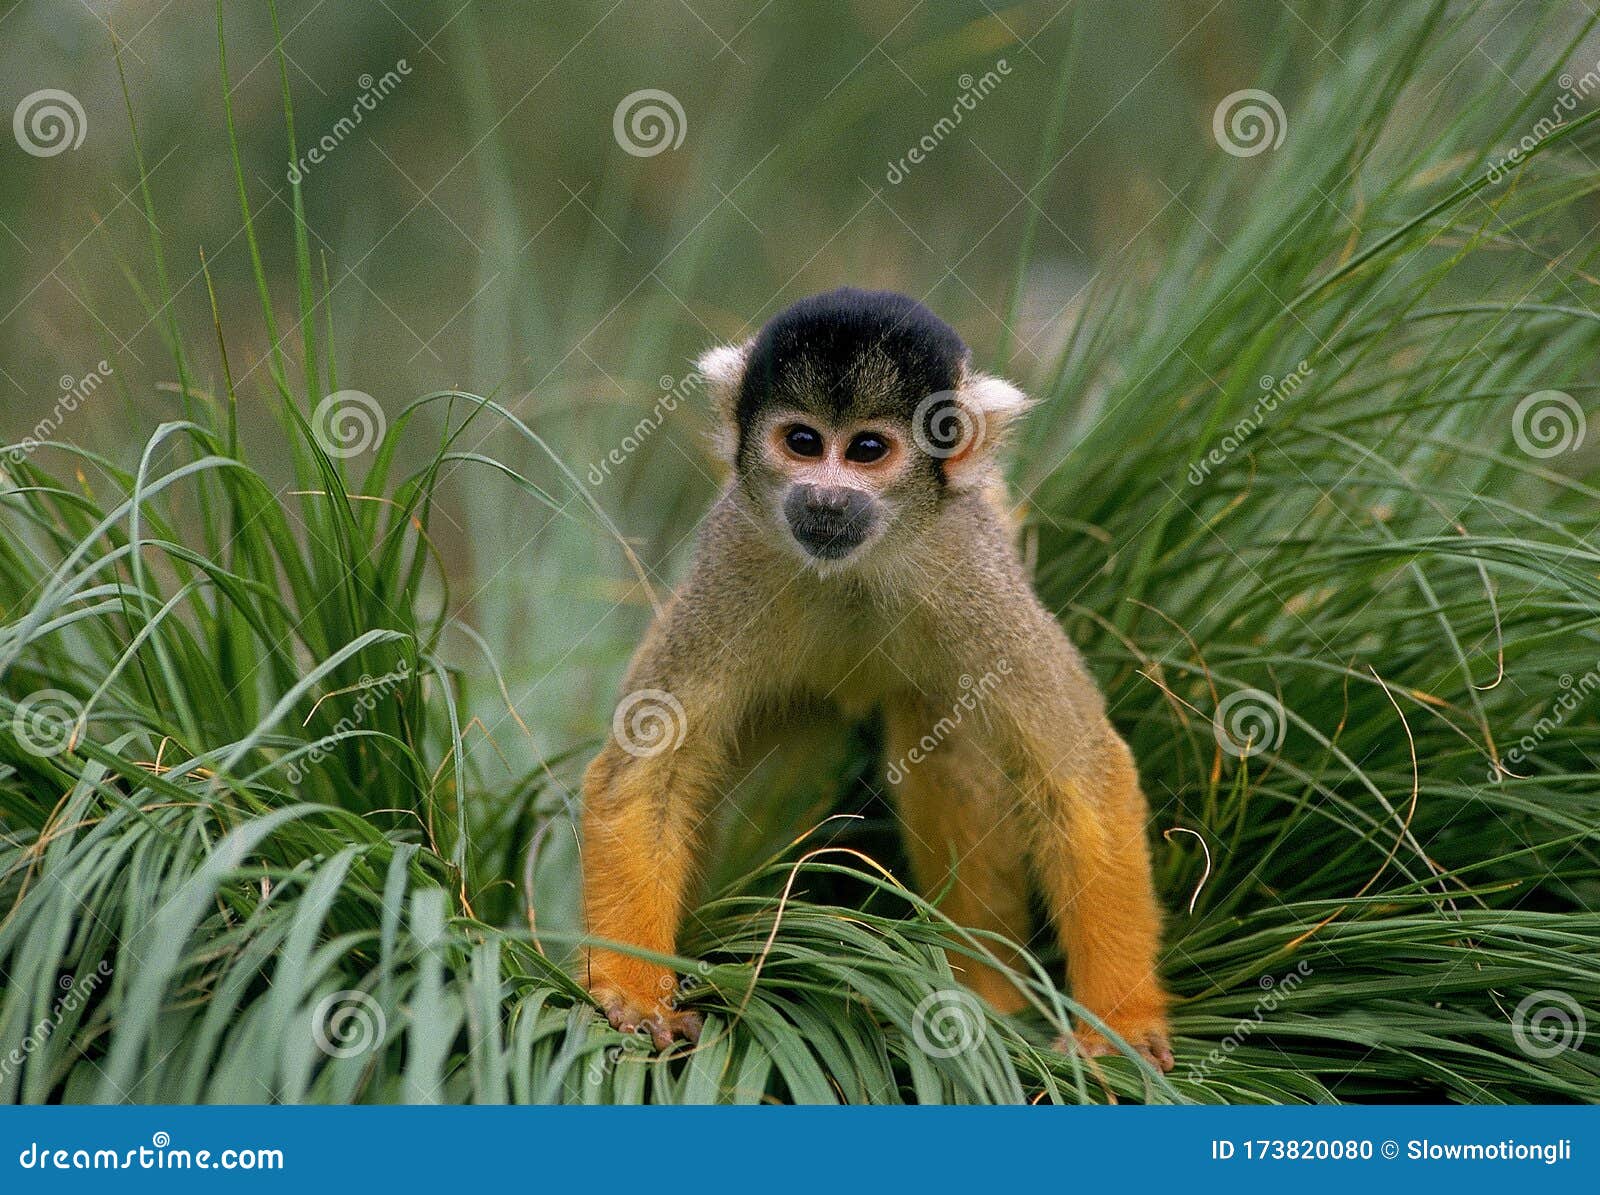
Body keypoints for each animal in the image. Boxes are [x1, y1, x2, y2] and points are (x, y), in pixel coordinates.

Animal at [580, 287, 1173, 1070]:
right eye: (803, 442)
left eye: (867, 450)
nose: (827, 500)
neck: (854, 567)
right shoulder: (734, 556)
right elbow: (650, 770)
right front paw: (633, 990)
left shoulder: (972, 566)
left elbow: (1080, 771)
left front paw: (1120, 1025)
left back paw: (982, 988)